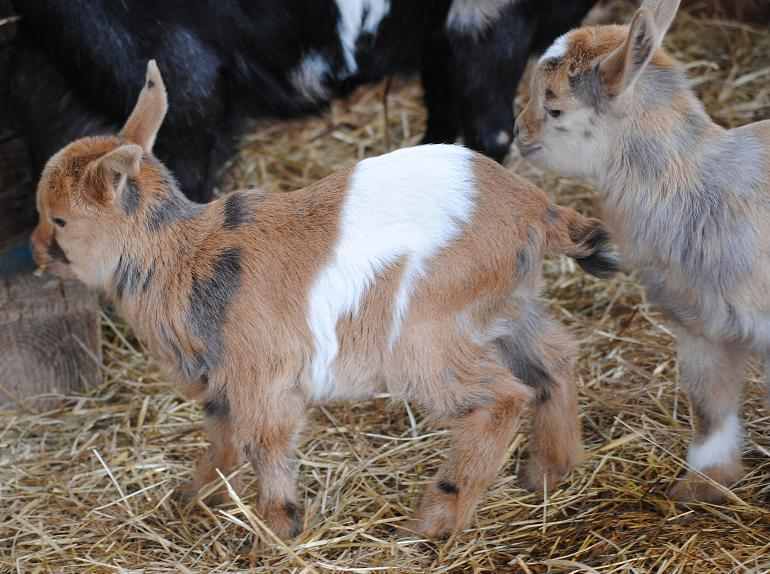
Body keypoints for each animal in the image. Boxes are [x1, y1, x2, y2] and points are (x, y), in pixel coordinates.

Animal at [31, 61, 617, 539]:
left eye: (59, 219)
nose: (37, 250)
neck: (184, 256)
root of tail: (538, 209)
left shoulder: (262, 378)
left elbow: (263, 445)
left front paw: (277, 530)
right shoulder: (222, 384)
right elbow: (221, 442)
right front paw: (191, 499)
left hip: (426, 339)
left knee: (503, 398)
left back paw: (434, 521)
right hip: (508, 307)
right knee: (555, 361)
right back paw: (548, 472)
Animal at [515, 0, 770, 503]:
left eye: (554, 106)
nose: (518, 133)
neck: (696, 187)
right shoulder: (701, 327)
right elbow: (709, 410)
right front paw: (703, 484)